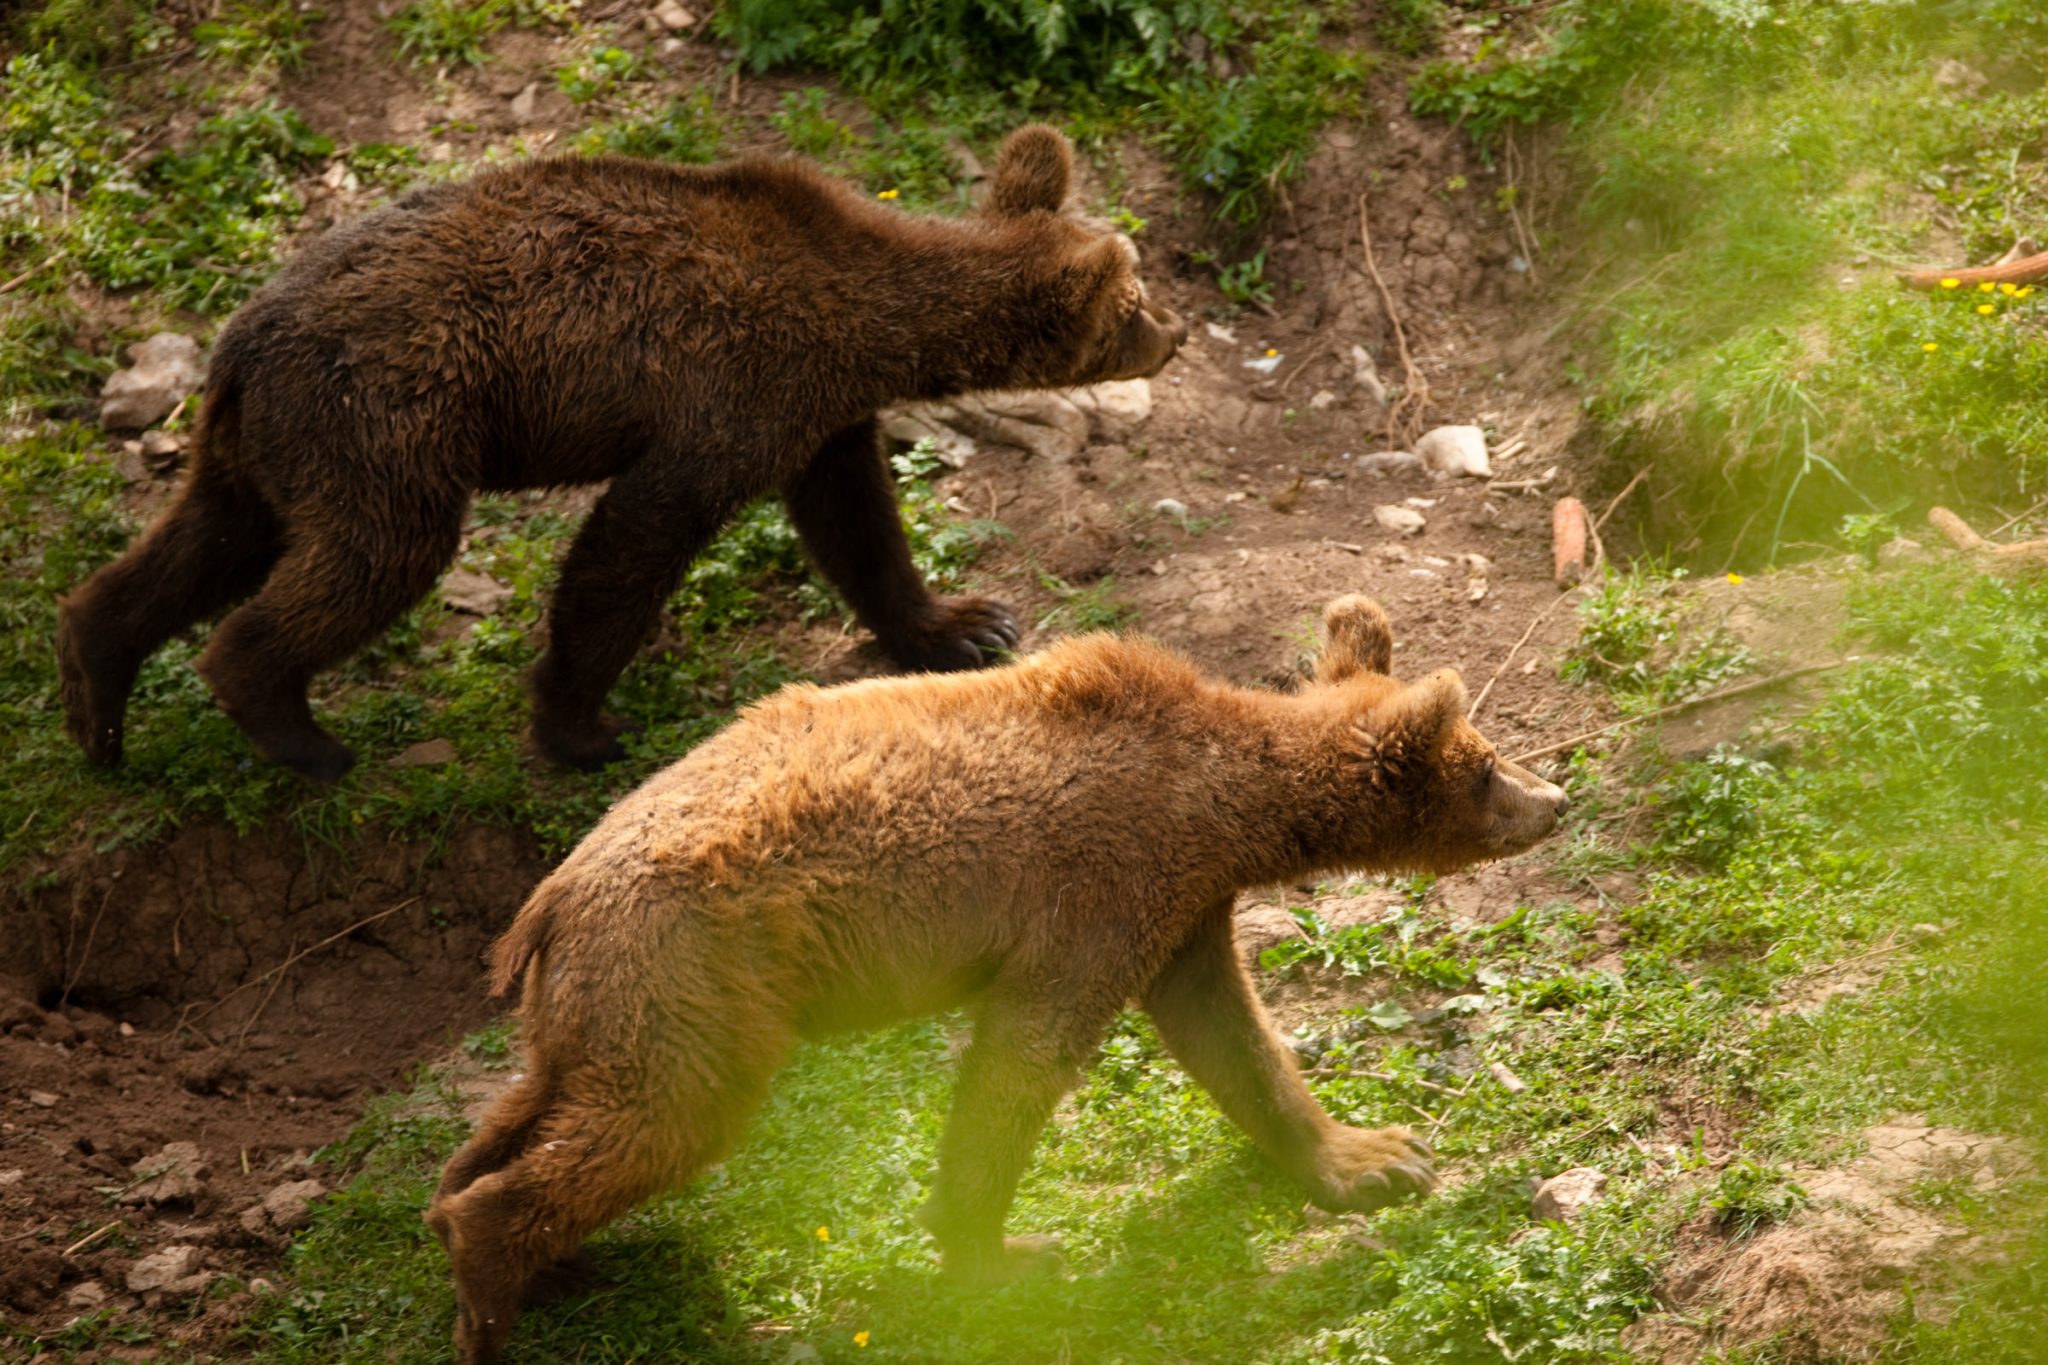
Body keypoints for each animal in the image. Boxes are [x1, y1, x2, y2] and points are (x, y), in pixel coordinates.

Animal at [55, 124, 1185, 782]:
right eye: (1133, 299)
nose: (1172, 332)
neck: (866, 315)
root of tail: (241, 342)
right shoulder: (731, 390)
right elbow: (630, 546)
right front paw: (582, 726)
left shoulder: (818, 415)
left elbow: (859, 527)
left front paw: (966, 625)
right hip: (386, 418)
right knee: (375, 556)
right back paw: (302, 735)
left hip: (268, 444)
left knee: (204, 542)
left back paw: (97, 699)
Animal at [424, 595, 1569, 1365]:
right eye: (1482, 765)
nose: (1553, 798)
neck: (1221, 803)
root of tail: (552, 895)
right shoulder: (1099, 891)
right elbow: (1020, 1063)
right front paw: (1001, 1247)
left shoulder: (1182, 909)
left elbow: (1232, 1039)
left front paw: (1374, 1156)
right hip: (692, 975)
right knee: (659, 1121)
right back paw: (490, 1288)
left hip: (606, 1000)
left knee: (545, 1111)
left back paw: (520, 1241)